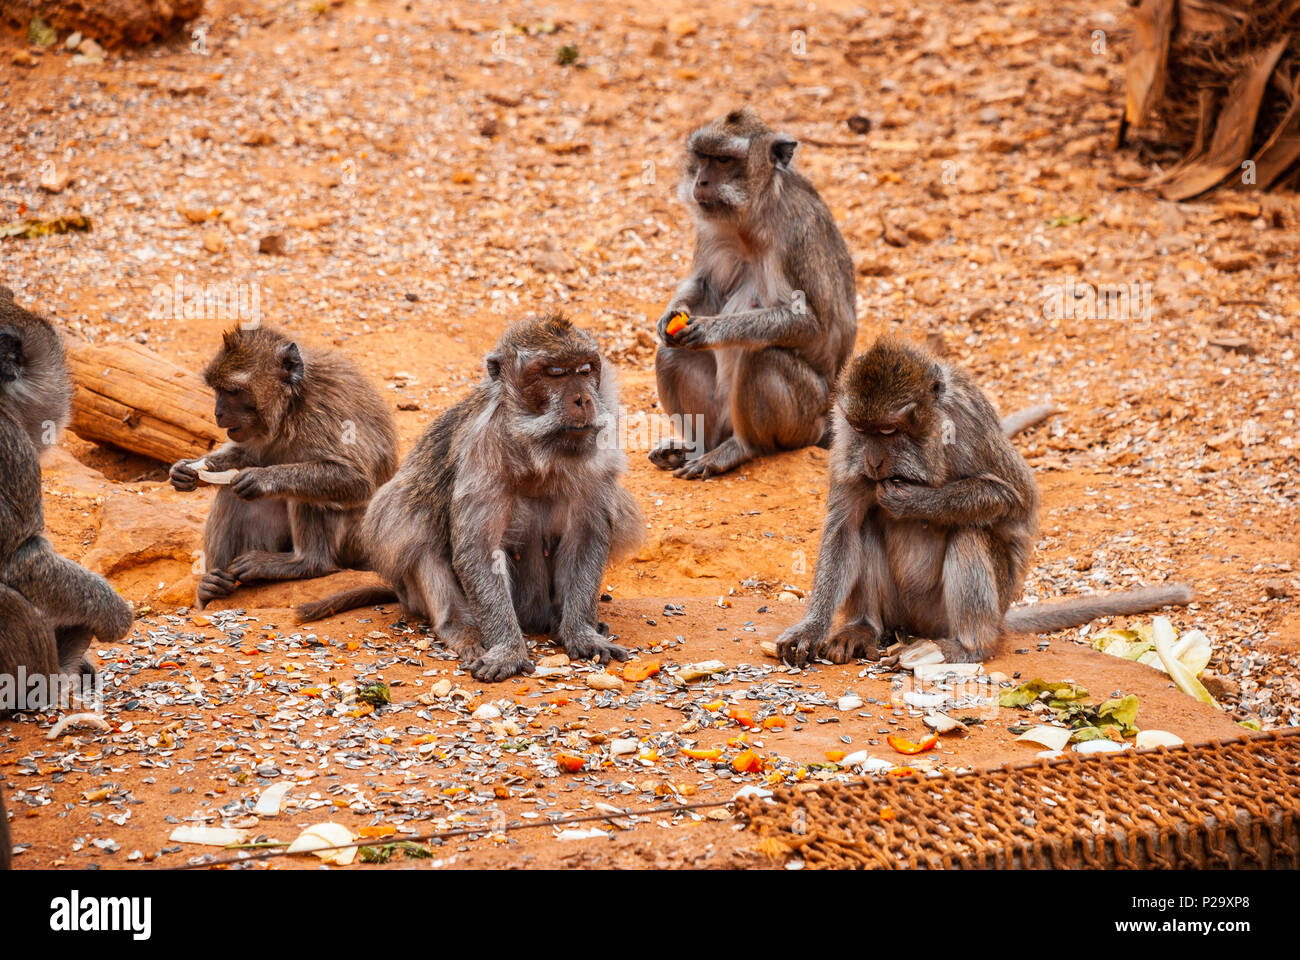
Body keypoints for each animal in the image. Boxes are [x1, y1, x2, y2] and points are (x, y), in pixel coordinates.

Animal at [169, 326, 398, 608]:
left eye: (233, 391)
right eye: (217, 390)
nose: (217, 413)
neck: (291, 405)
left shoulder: (324, 414)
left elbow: (356, 480)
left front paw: (261, 478)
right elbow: (245, 454)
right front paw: (186, 471)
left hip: (354, 539)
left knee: (311, 496)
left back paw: (306, 563)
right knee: (231, 495)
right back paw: (211, 588)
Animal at [297, 314, 644, 683]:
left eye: (585, 369)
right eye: (554, 373)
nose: (584, 400)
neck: (536, 450)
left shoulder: (598, 454)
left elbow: (585, 539)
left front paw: (582, 633)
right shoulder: (482, 449)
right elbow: (478, 548)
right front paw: (507, 649)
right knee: (409, 520)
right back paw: (462, 628)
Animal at [648, 107, 857, 479]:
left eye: (723, 159)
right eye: (702, 157)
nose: (701, 181)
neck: (750, 219)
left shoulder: (797, 236)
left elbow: (812, 324)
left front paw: (712, 329)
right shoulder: (710, 229)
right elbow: (702, 285)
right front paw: (670, 315)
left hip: (804, 420)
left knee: (763, 357)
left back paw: (741, 449)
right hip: (719, 417)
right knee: (671, 354)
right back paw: (695, 448)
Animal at [776, 336, 1193, 666]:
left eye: (890, 430)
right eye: (863, 429)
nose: (874, 461)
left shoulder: (968, 420)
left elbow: (1016, 495)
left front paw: (912, 501)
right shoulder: (845, 440)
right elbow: (844, 526)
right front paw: (811, 629)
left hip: (956, 611)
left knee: (970, 533)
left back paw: (967, 647)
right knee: (865, 527)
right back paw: (862, 628)